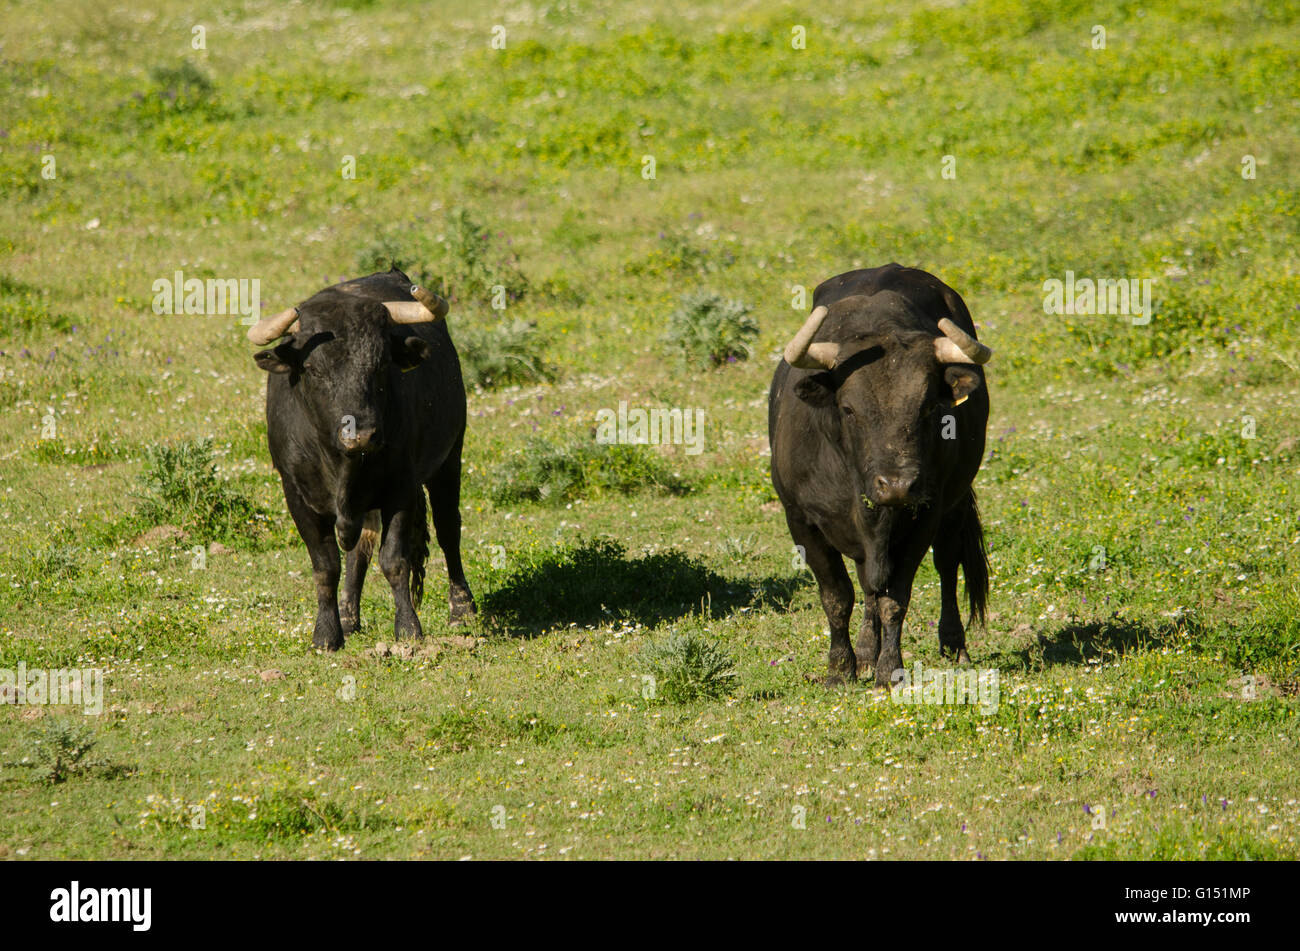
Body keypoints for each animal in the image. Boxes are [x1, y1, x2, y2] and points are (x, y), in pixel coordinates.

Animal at [247, 268, 476, 650]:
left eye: (381, 363)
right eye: (313, 368)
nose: (361, 435)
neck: (341, 464)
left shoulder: (401, 489)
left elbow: (394, 559)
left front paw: (408, 627)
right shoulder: (297, 498)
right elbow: (326, 566)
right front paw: (327, 633)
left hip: (449, 459)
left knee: (448, 530)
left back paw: (462, 609)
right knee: (359, 551)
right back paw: (350, 617)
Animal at [768, 263, 992, 687]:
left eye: (929, 407)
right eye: (849, 408)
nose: (898, 486)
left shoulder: (924, 518)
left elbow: (895, 598)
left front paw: (890, 669)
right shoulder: (801, 520)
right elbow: (838, 596)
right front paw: (841, 668)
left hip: (954, 504)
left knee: (946, 563)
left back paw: (954, 646)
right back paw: (865, 652)